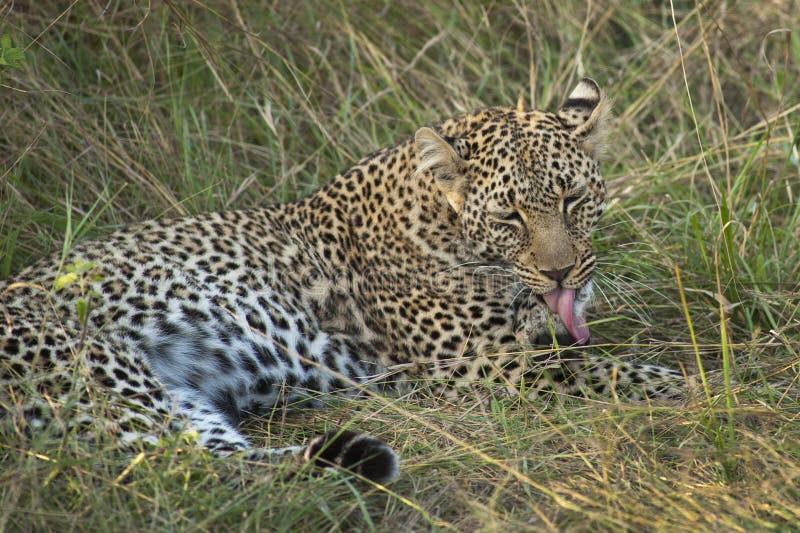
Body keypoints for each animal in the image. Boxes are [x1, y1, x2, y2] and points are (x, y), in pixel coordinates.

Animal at [0, 78, 689, 485]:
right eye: (508, 217)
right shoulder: (473, 365)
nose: (561, 270)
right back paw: (360, 458)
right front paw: (696, 386)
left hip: (168, 394)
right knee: (180, 467)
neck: (438, 219)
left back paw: (357, 456)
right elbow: (608, 371)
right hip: (96, 372)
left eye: (572, 199)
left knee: (211, 458)